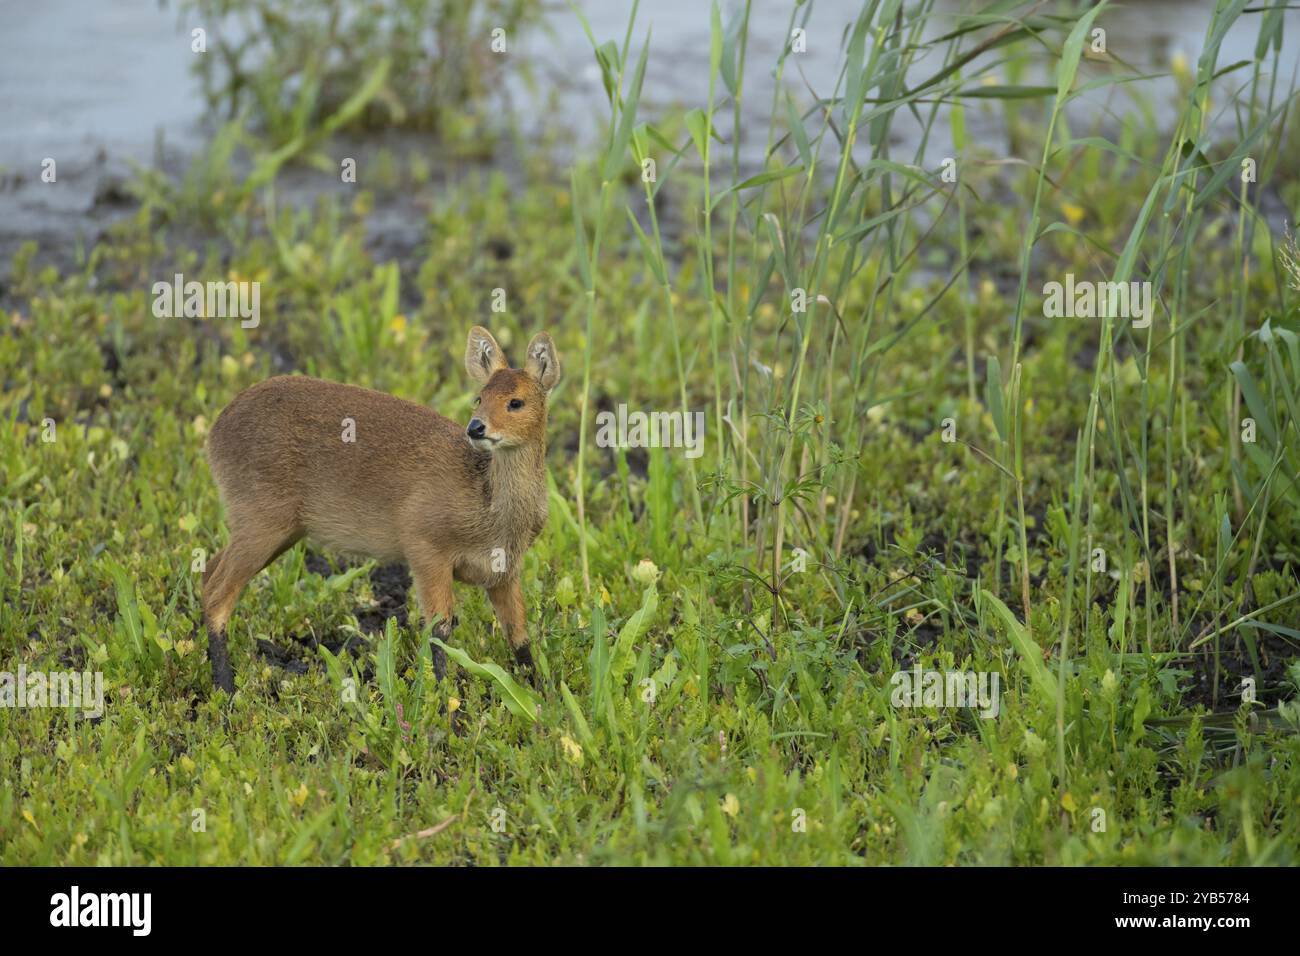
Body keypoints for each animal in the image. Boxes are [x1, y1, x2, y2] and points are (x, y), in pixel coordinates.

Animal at [200, 326, 560, 694]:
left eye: (516, 401)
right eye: (479, 398)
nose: (475, 427)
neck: (487, 506)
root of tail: (215, 432)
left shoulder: (505, 571)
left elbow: (519, 634)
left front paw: (541, 691)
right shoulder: (426, 548)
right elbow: (440, 629)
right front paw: (443, 698)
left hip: (274, 530)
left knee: (207, 575)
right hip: (260, 521)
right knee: (216, 595)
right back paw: (226, 690)